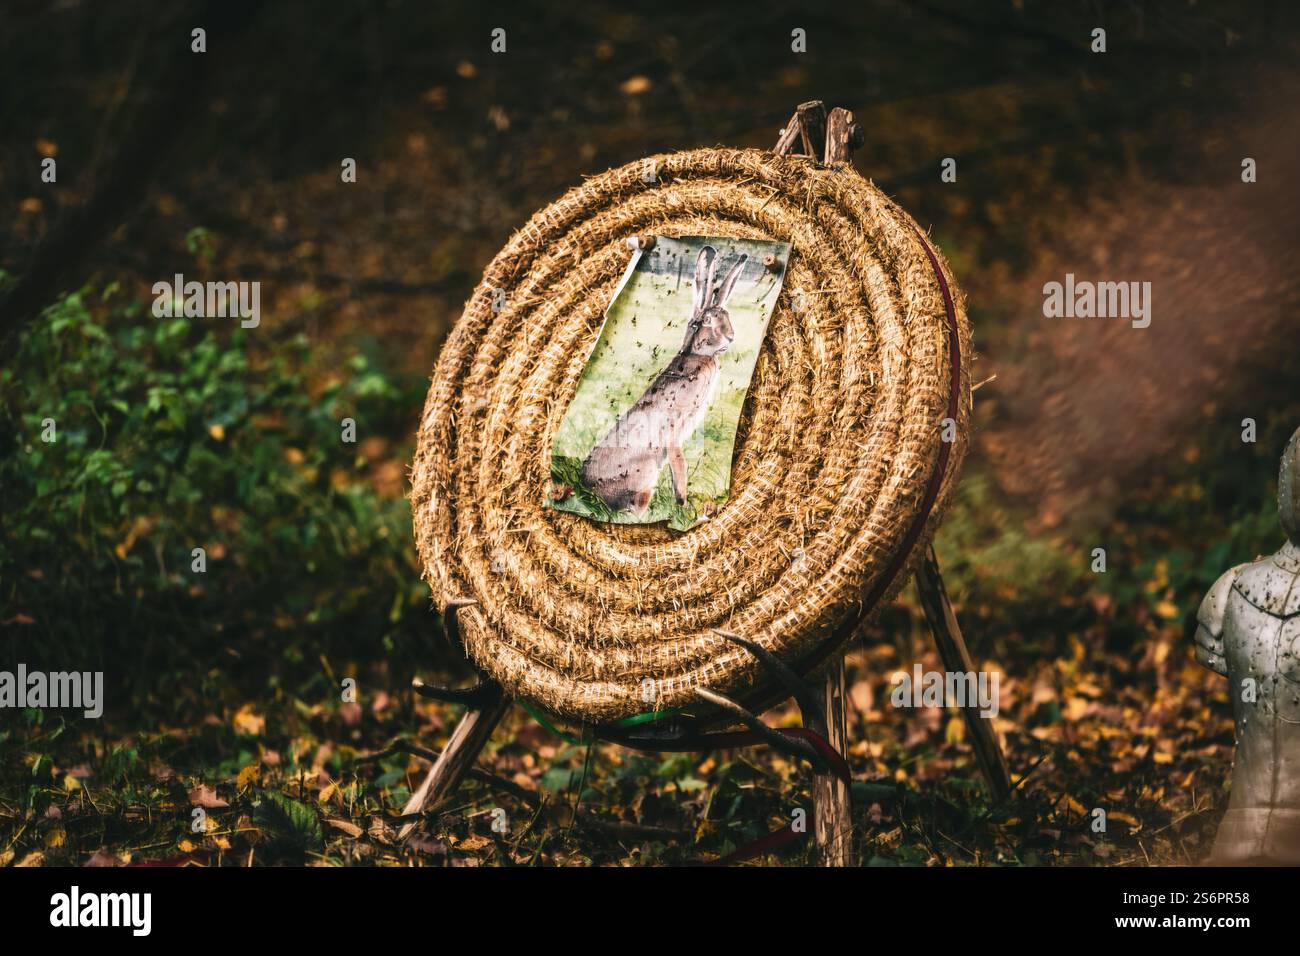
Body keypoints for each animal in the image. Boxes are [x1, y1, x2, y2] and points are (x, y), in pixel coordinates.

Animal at [580, 244, 748, 516]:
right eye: (707, 321)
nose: (731, 337)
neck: (695, 355)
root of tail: (585, 488)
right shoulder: (673, 432)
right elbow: (679, 463)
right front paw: (682, 502)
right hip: (645, 474)